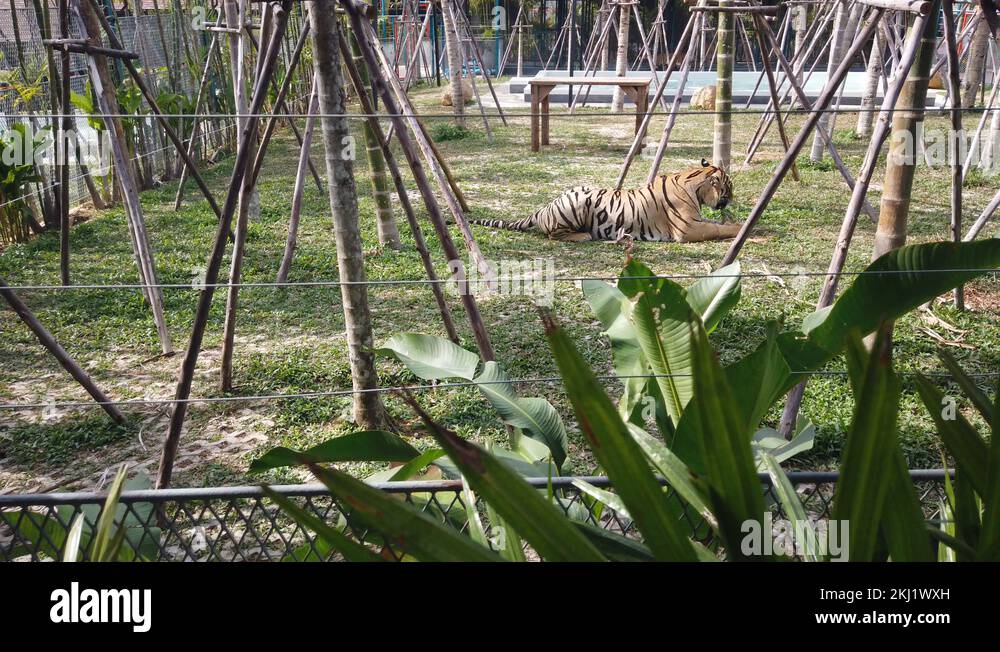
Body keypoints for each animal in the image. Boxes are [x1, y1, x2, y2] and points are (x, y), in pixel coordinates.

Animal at [471, 160, 741, 243]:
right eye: (728, 188)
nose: (732, 200)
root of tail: (543, 208)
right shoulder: (687, 228)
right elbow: (717, 229)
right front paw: (742, 228)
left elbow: (719, 224)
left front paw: (734, 221)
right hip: (578, 203)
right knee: (553, 235)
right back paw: (583, 235)